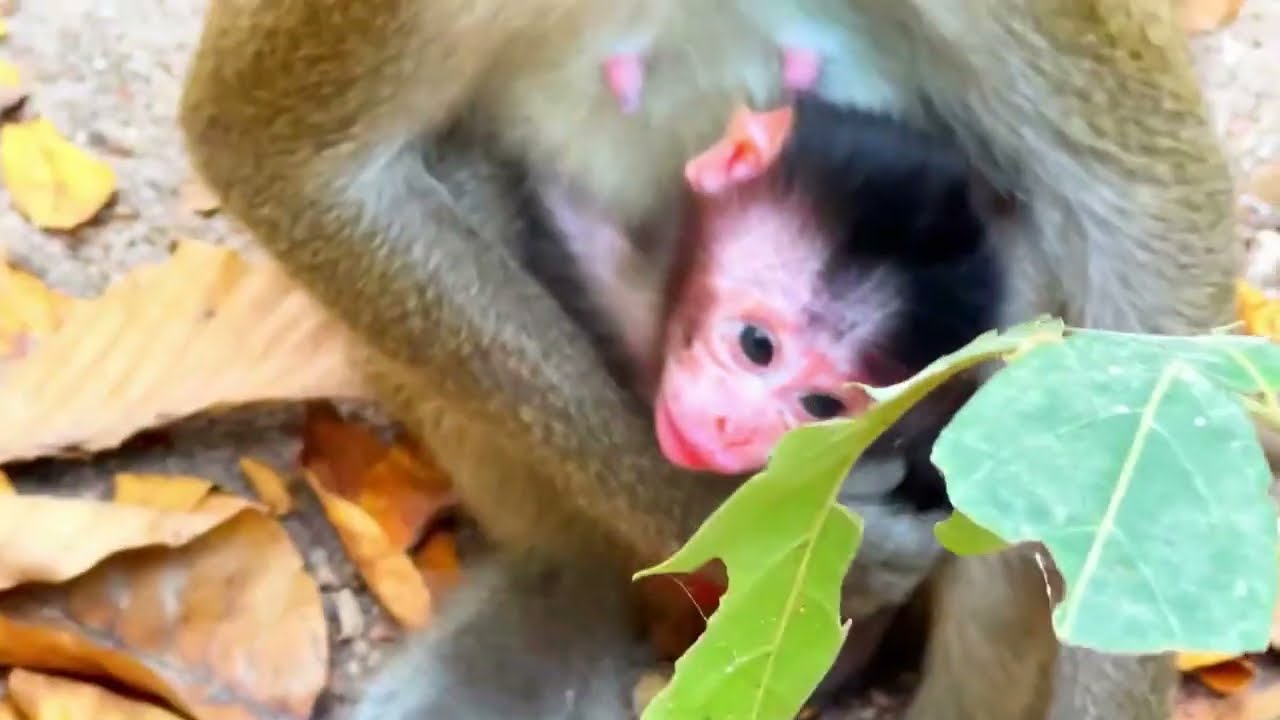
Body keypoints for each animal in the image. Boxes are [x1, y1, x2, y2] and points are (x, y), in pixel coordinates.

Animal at [178, 0, 1235, 718]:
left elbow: (1136, 200)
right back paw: (559, 590)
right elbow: (279, 152)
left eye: (822, 401)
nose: (731, 425)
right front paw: (738, 527)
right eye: (752, 344)